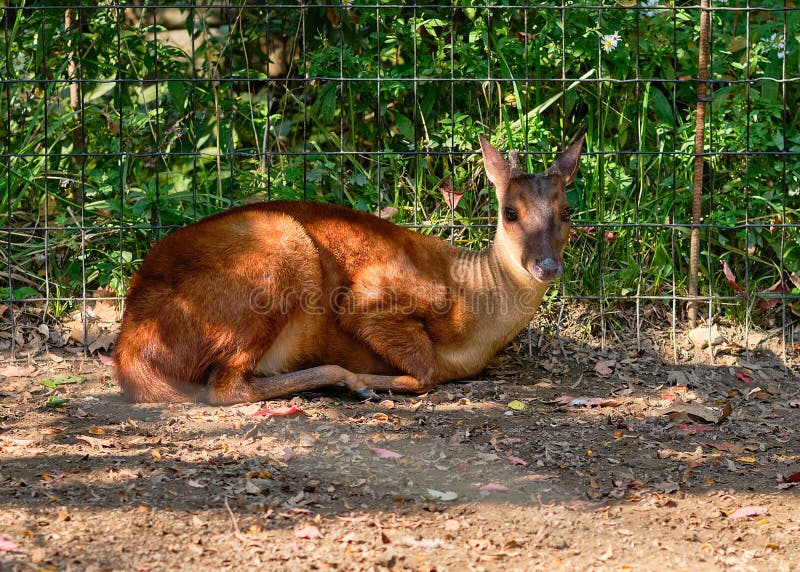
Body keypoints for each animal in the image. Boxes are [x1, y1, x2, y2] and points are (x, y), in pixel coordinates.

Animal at [113, 136, 583, 405]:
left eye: (567, 211)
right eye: (510, 212)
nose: (546, 265)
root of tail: (130, 347)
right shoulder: (370, 296)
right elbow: (426, 372)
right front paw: (369, 379)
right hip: (282, 250)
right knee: (223, 387)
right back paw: (348, 381)